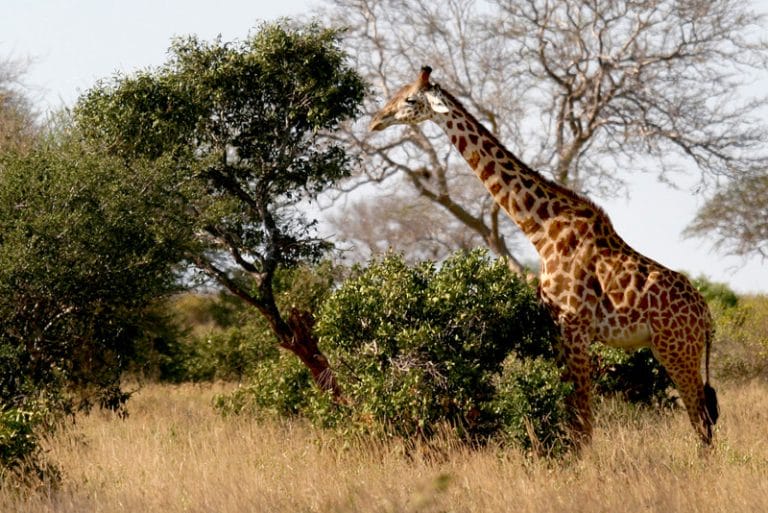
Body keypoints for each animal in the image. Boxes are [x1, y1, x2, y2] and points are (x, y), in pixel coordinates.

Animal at [369, 66, 719, 445]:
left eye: (409, 100)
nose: (376, 120)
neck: (542, 230)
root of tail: (707, 317)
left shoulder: (574, 325)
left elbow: (583, 418)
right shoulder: (556, 328)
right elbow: (572, 414)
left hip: (676, 349)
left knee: (702, 422)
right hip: (676, 349)